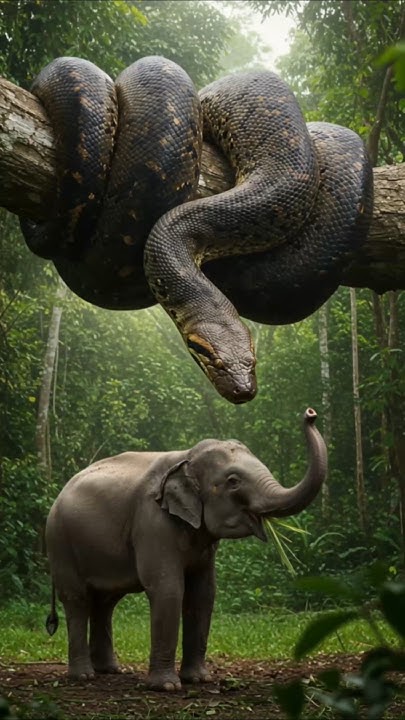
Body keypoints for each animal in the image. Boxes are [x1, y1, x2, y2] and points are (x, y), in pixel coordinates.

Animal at [45, 407, 327, 691]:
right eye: (233, 481)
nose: (310, 413)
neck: (186, 457)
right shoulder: (152, 522)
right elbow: (168, 589)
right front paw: (166, 687)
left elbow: (203, 594)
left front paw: (199, 679)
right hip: (60, 543)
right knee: (77, 599)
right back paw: (84, 676)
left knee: (105, 601)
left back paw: (110, 671)